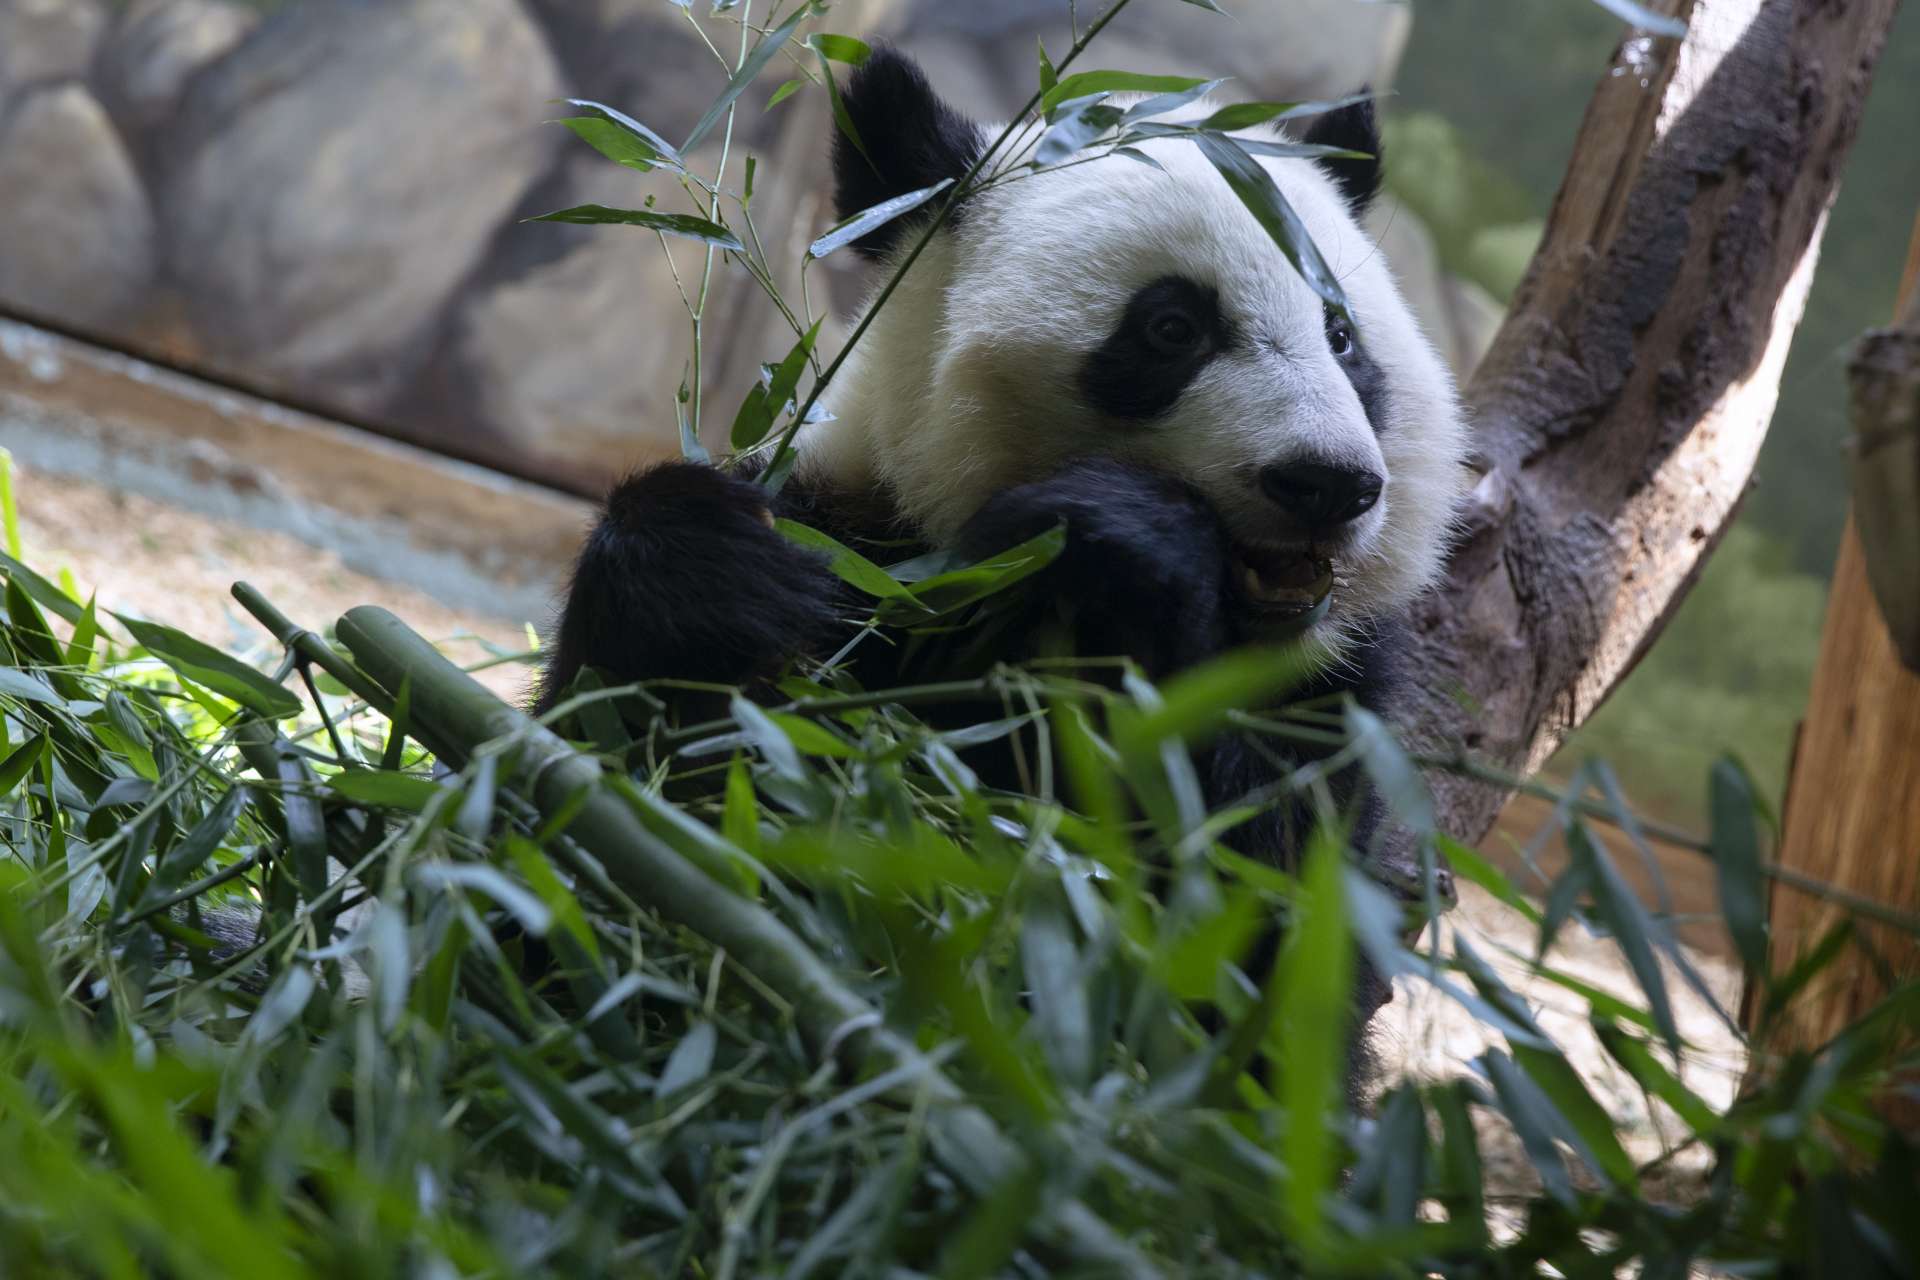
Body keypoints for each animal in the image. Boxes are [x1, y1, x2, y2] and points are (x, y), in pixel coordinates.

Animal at [539, 49, 1471, 1034]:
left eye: (1342, 336)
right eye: (1172, 327)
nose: (1327, 483)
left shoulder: (1329, 705)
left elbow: (1243, 946)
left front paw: (1119, 547)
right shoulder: (861, 539)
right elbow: (613, 807)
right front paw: (710, 580)